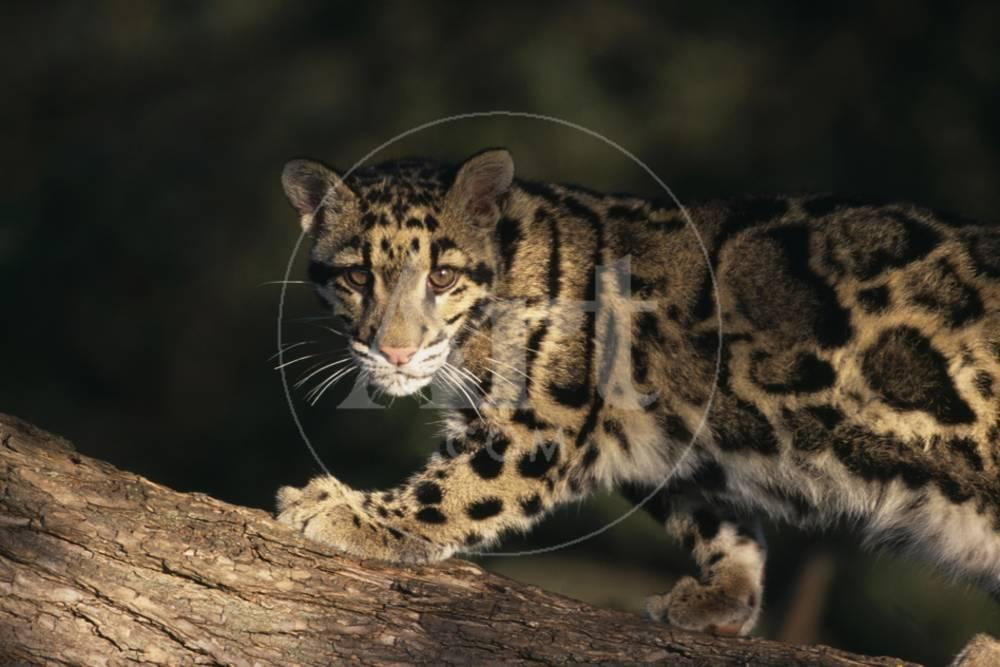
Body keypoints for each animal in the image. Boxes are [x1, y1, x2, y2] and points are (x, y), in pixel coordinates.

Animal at [274, 148, 1000, 655]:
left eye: (443, 276)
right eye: (357, 277)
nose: (394, 352)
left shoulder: (539, 426)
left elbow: (453, 492)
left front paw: (346, 511)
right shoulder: (658, 438)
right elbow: (711, 514)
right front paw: (725, 594)